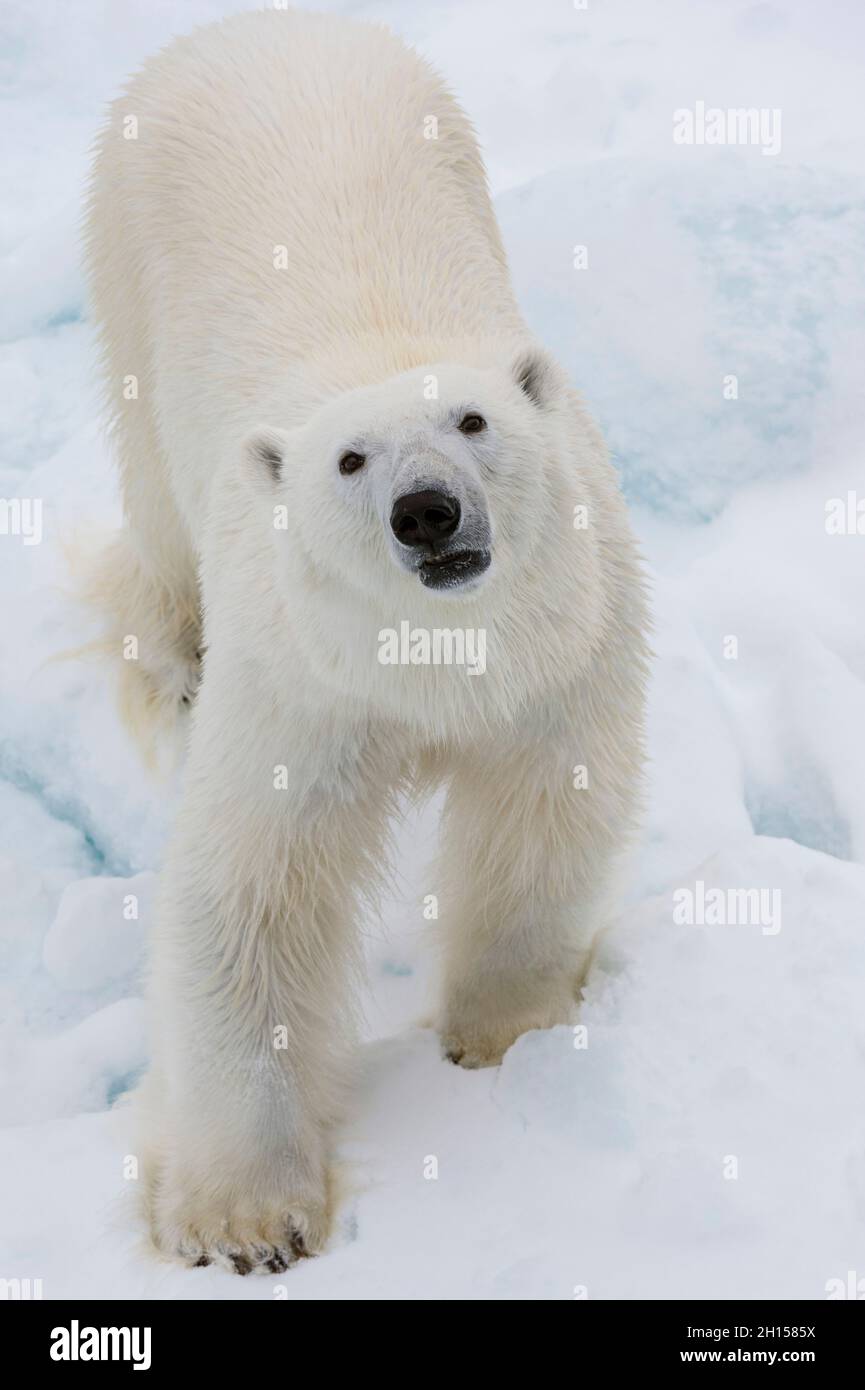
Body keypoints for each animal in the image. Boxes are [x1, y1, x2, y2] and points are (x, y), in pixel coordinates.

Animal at [83, 8, 649, 1274]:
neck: (435, 667)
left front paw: (501, 1035)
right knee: (151, 502)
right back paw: (171, 659)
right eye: (349, 459)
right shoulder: (303, 683)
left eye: (473, 419)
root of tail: (259, 25)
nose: (426, 510)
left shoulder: (566, 651)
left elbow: (542, 820)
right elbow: (253, 891)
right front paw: (240, 1220)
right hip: (125, 248)